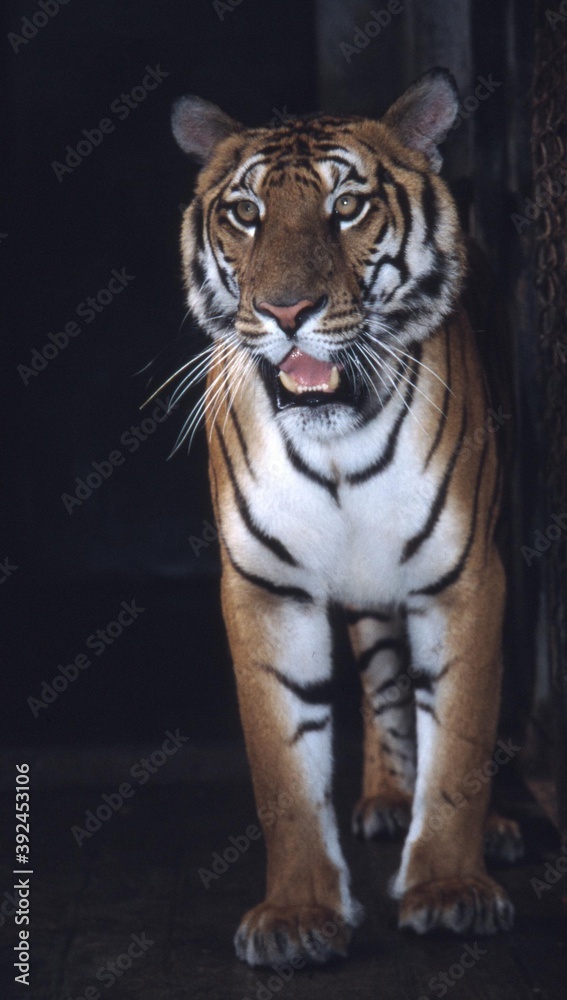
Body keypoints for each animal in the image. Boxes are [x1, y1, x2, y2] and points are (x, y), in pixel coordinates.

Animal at [170, 68, 519, 967]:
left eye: (348, 207)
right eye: (245, 213)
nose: (287, 310)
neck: (337, 443)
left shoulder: (466, 577)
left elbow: (460, 742)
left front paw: (448, 889)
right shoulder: (265, 590)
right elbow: (285, 773)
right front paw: (297, 914)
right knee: (383, 681)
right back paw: (388, 797)